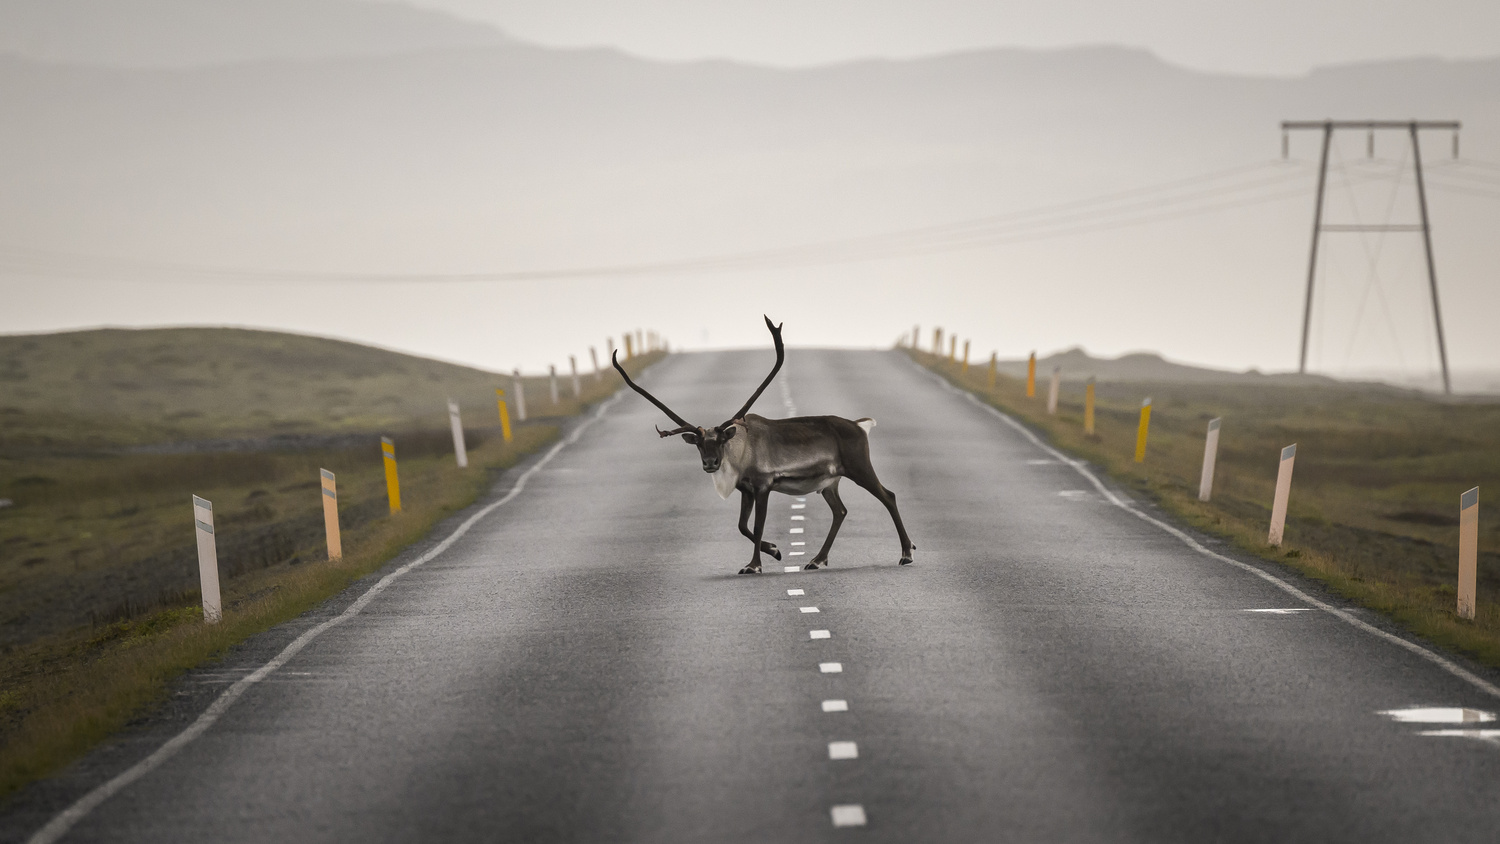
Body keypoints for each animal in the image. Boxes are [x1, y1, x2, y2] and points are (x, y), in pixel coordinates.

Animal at [613, 316, 915, 575]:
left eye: (721, 441)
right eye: (698, 444)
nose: (710, 463)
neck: (740, 457)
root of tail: (860, 425)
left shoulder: (763, 484)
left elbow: (756, 527)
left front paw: (754, 565)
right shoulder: (746, 489)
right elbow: (741, 526)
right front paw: (775, 550)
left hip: (858, 465)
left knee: (888, 496)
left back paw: (906, 553)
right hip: (831, 481)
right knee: (840, 511)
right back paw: (817, 560)